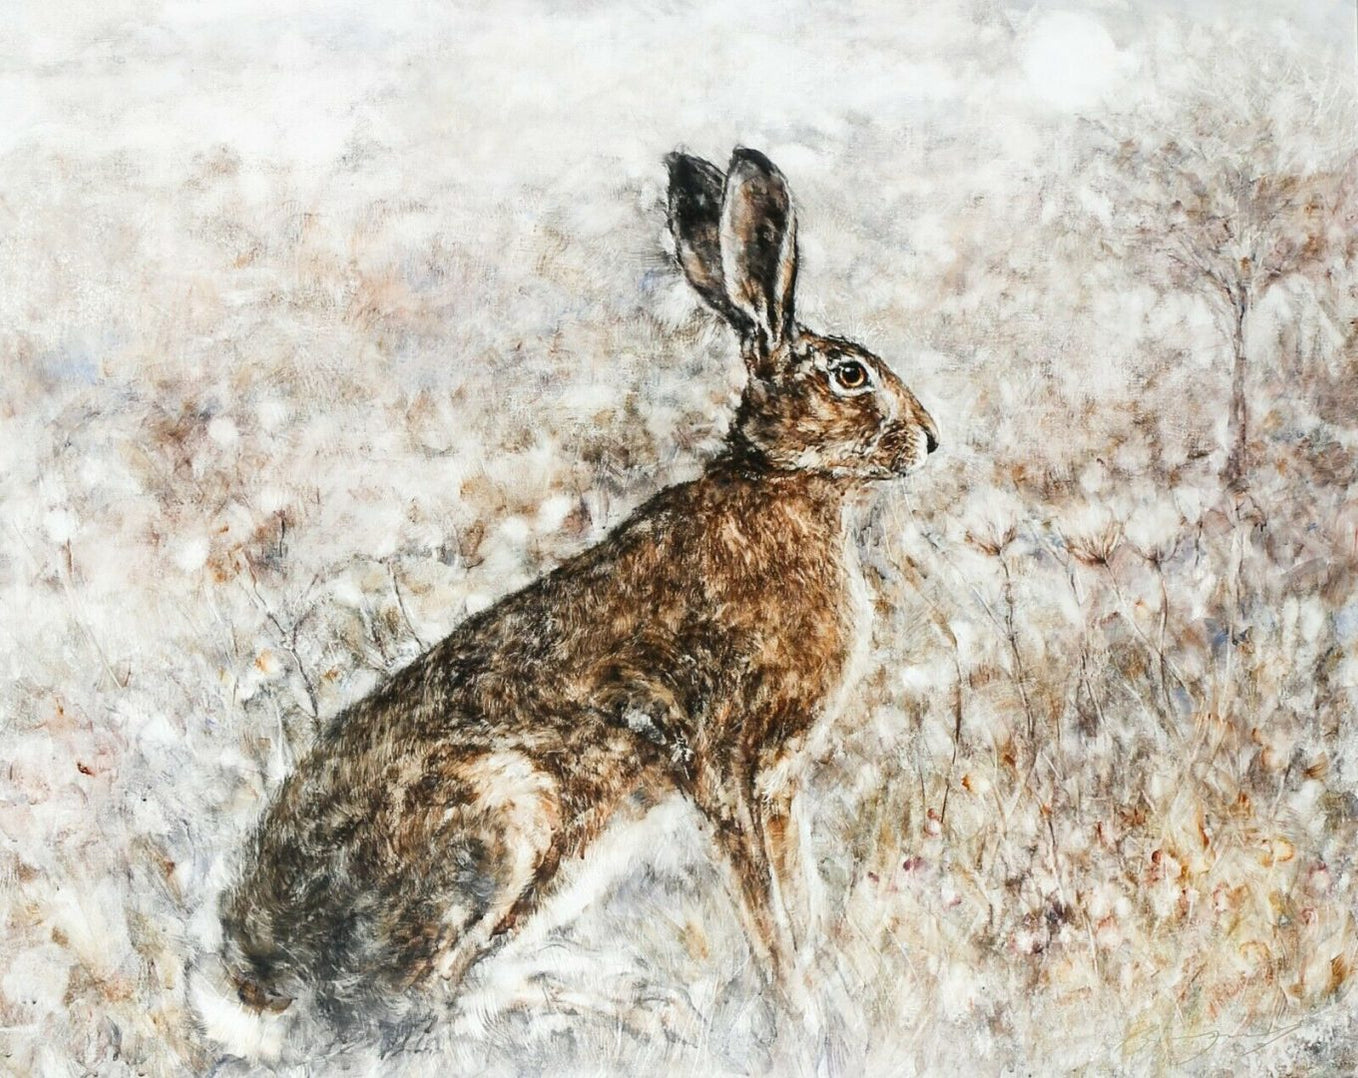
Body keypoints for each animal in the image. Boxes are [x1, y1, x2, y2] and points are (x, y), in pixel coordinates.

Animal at [216, 146, 939, 1033]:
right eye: (849, 375)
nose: (933, 440)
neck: (782, 485)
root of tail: (256, 957)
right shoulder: (718, 759)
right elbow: (762, 904)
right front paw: (799, 1014)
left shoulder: (779, 782)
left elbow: (799, 895)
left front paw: (825, 991)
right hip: (508, 813)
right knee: (413, 1003)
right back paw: (604, 1003)